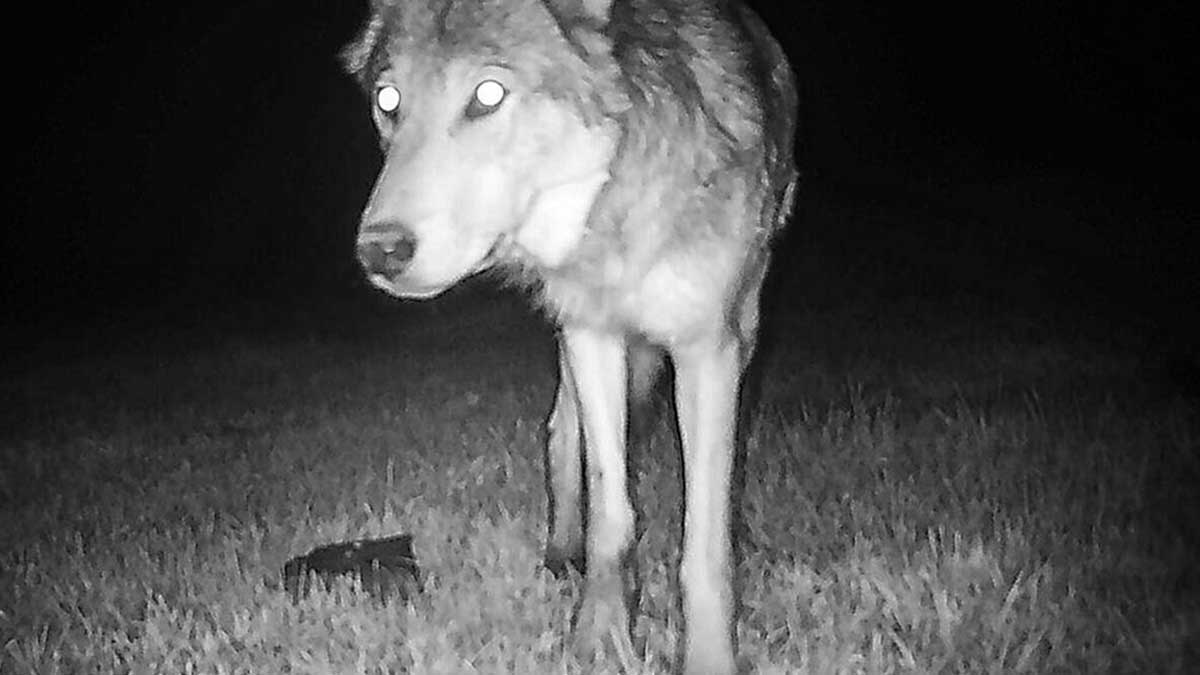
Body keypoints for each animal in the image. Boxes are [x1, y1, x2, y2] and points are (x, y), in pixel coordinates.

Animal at [343, 0, 797, 671]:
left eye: (487, 94)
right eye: (389, 99)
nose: (378, 251)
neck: (610, 207)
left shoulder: (708, 348)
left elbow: (704, 550)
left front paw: (708, 657)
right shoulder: (592, 332)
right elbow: (610, 511)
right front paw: (600, 637)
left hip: (737, 320)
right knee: (560, 429)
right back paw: (561, 552)